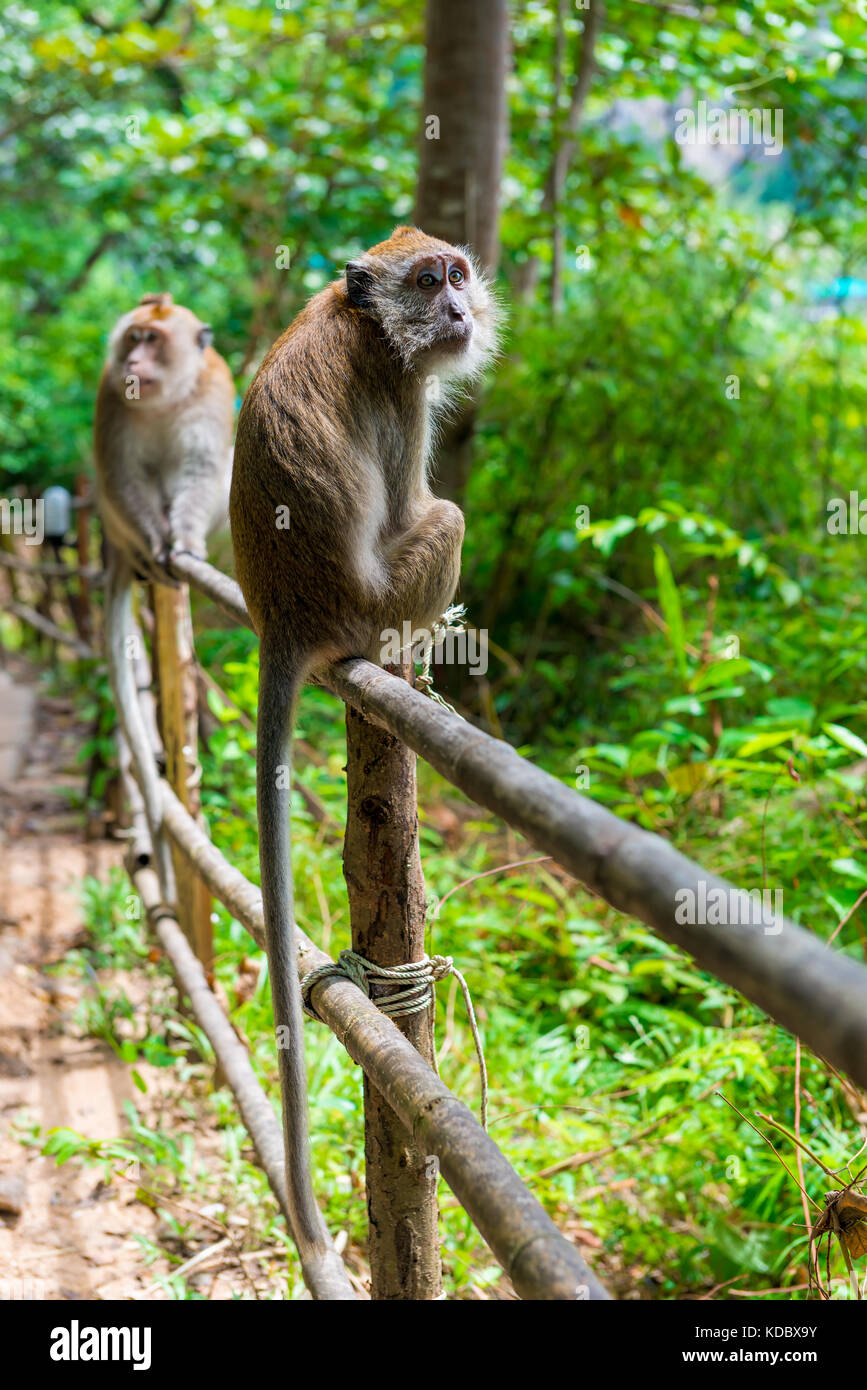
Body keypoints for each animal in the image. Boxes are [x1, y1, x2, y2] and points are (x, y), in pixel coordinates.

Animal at [229, 226, 500, 1295]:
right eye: (430, 282)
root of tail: (285, 616)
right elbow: (415, 509)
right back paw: (411, 659)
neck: (366, 326)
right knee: (446, 519)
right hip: (374, 605)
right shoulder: (400, 396)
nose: (459, 308)